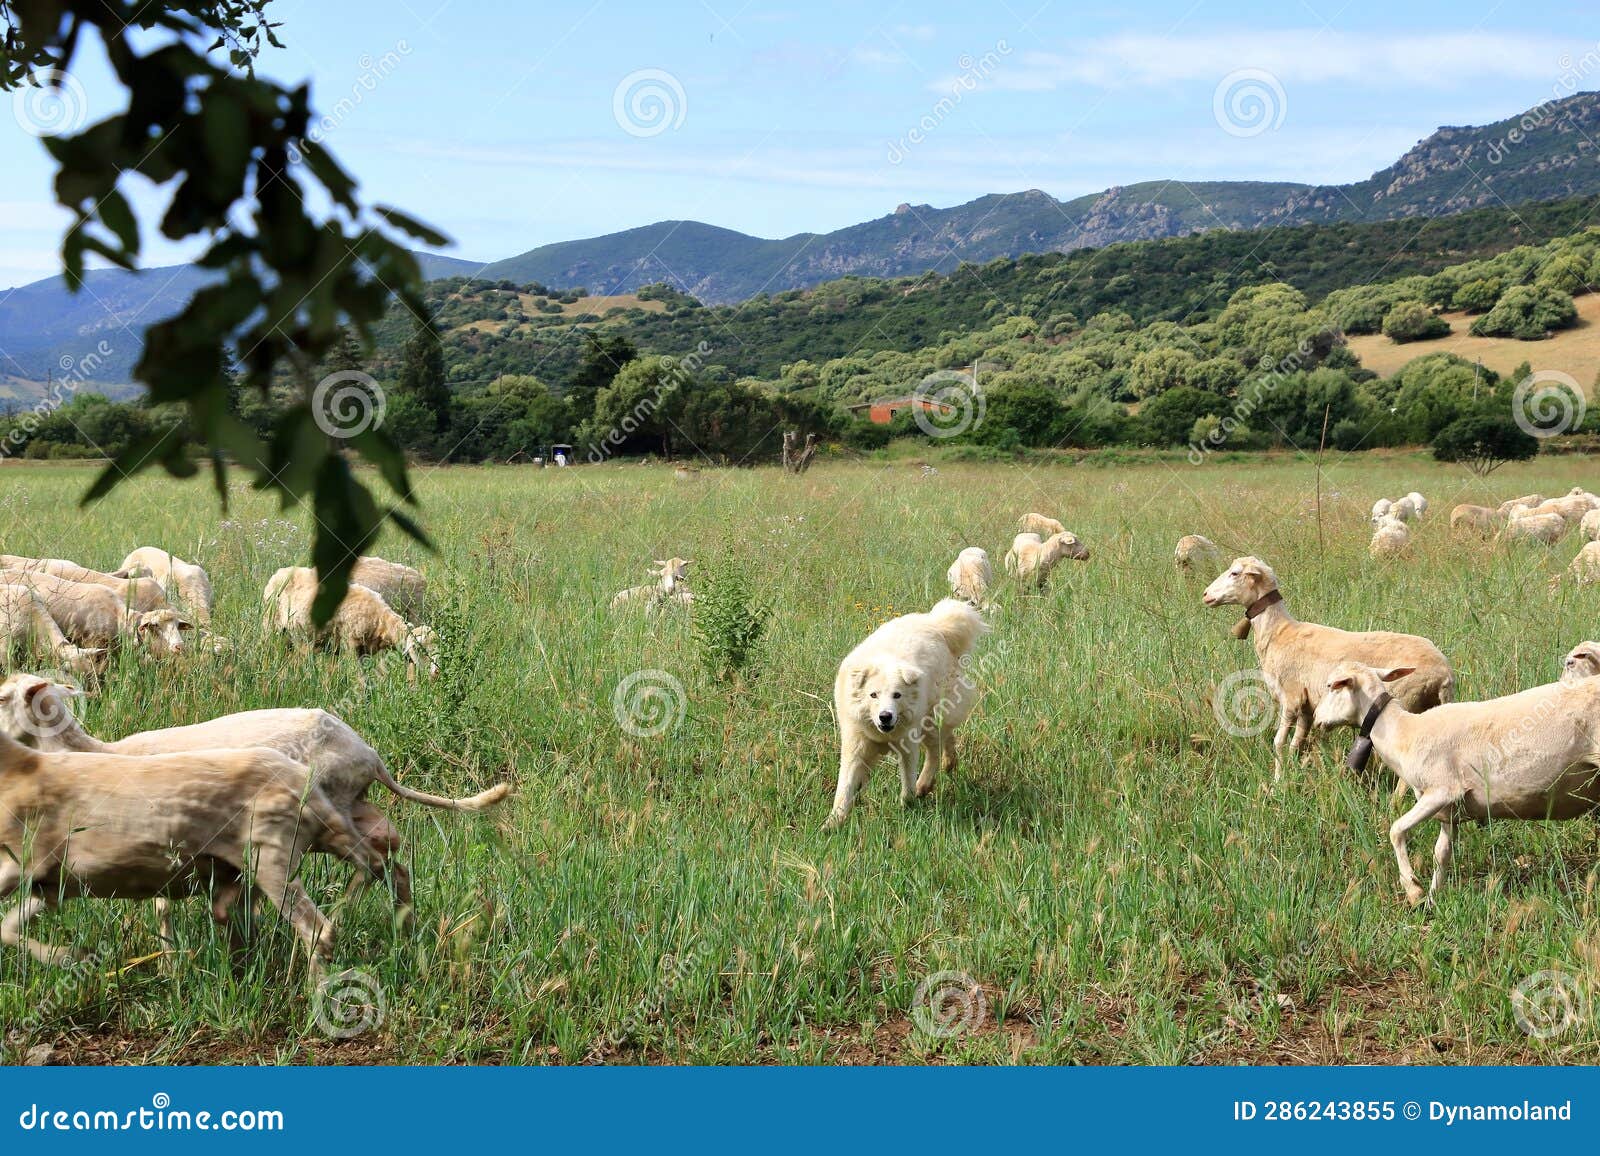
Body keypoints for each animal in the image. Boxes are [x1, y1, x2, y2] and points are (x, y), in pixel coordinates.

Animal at [0, 673, 511, 928]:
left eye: (3, 696)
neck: (102, 752)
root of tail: (369, 754)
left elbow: (162, 907)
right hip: (357, 805)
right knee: (392, 859)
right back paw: (404, 926)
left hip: (329, 807)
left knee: (371, 863)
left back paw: (342, 916)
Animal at [0, 710, 377, 975]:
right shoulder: (51, 882)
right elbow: (9, 926)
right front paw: (71, 957)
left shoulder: (22, 864)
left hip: (272, 859)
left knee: (318, 927)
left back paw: (318, 996)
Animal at [263, 567, 438, 676]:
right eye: (421, 650)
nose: (436, 673)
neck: (380, 619)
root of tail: (280, 572)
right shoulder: (350, 644)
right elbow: (358, 677)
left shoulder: (363, 650)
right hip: (271, 627)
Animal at [1202, 556, 1453, 780]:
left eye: (1235, 573)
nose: (1205, 594)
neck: (1277, 633)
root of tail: (1445, 676)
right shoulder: (1307, 707)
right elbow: (1296, 744)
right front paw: (1294, 776)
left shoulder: (1291, 699)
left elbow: (1279, 743)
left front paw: (1277, 783)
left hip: (1404, 703)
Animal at [1312, 661, 1600, 905]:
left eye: (1330, 686)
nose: (1315, 719)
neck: (1403, 733)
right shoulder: (1449, 811)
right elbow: (1441, 853)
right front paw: (1432, 900)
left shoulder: (1441, 791)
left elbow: (1396, 830)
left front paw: (1413, 890)